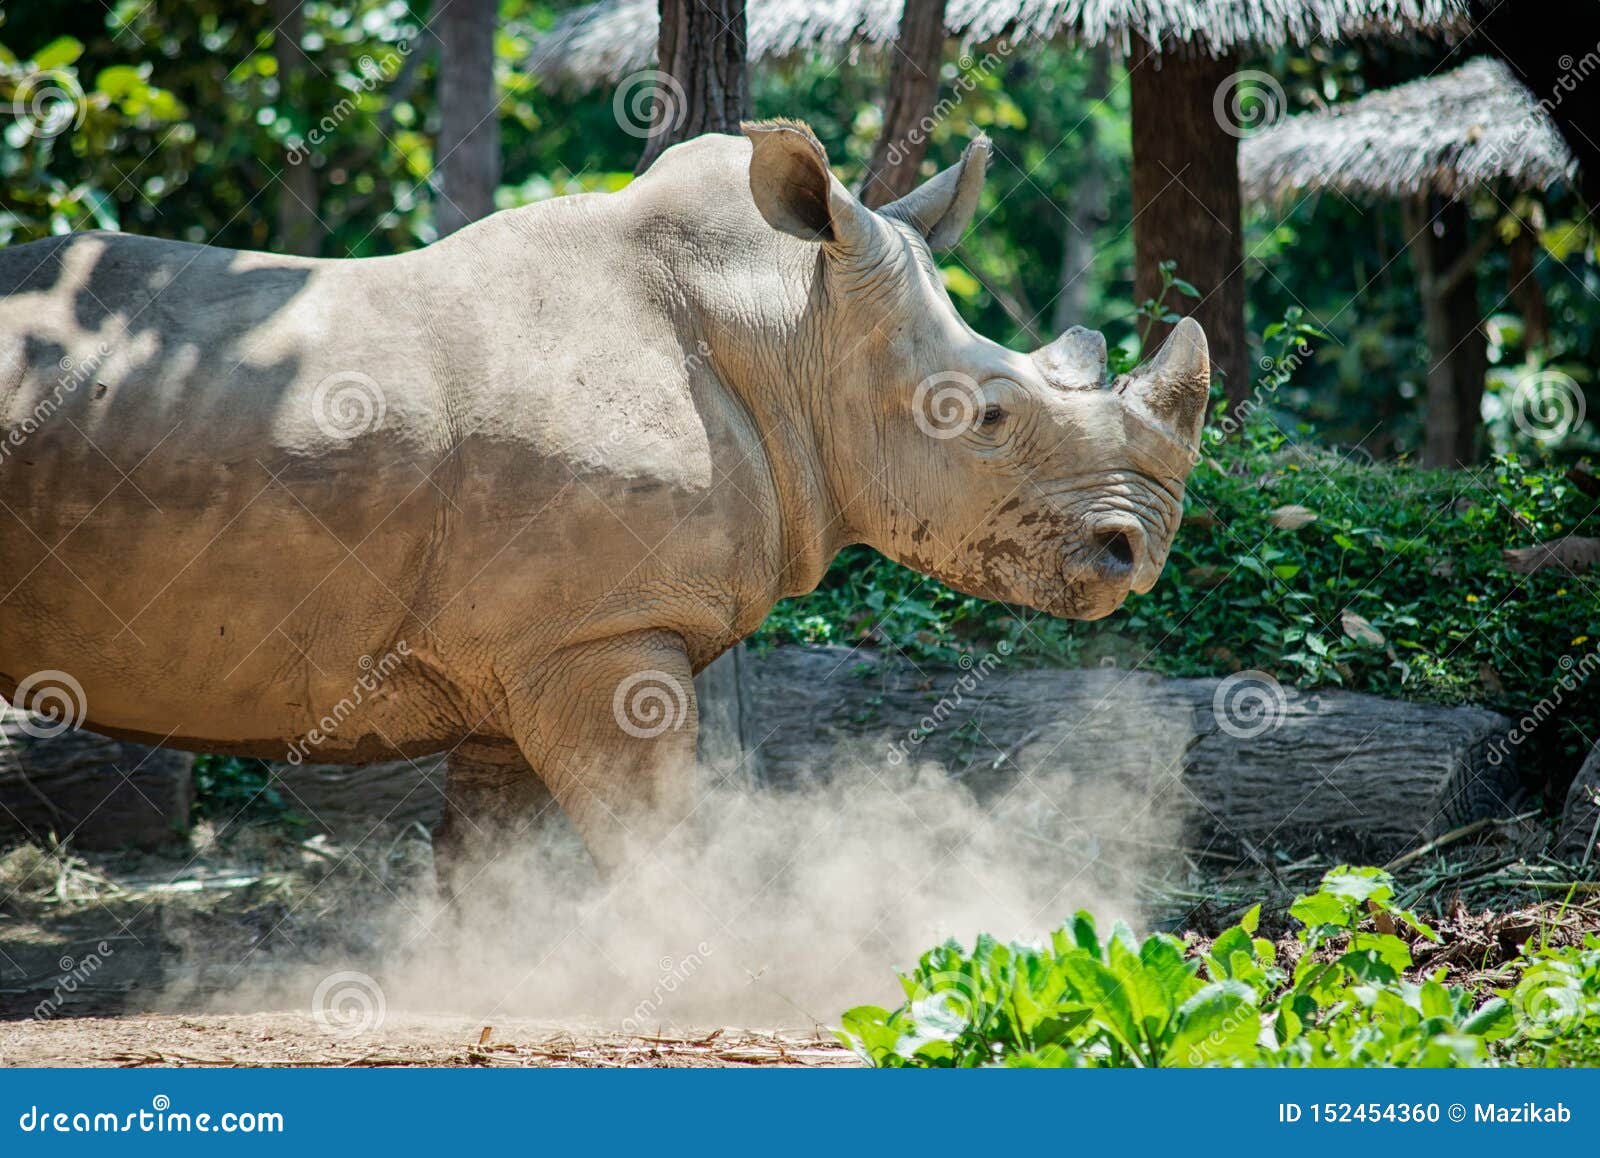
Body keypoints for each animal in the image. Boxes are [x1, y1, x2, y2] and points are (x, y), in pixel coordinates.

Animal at [0, 119, 1208, 890]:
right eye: (987, 416)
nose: (1136, 550)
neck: (789, 323)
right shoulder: (600, 633)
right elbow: (658, 830)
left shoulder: (521, 647)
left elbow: (486, 865)